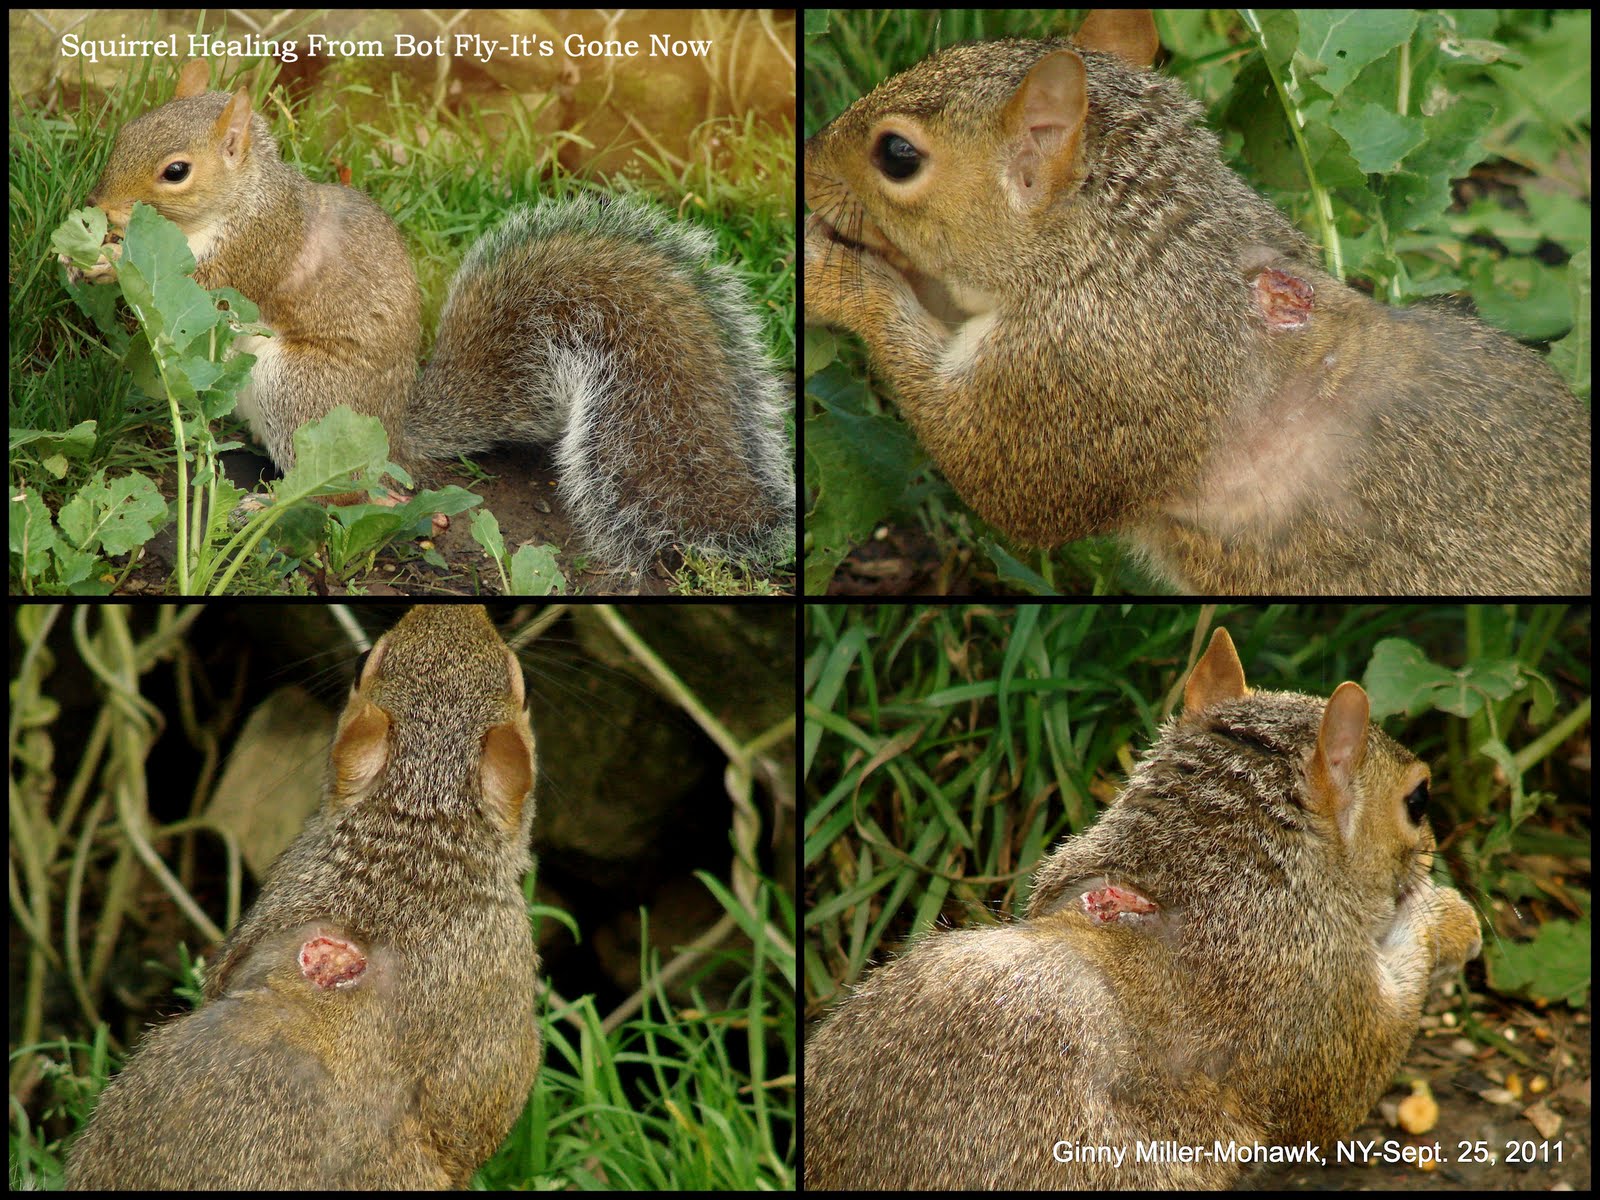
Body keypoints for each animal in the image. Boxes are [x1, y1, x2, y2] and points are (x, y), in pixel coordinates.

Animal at [66, 604, 540, 1189]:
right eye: (363, 660)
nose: (459, 607)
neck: (411, 836)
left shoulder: (285, 884)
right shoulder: (503, 973)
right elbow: (474, 1115)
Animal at [68, 59, 794, 571]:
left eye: (176, 172)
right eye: (127, 131)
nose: (99, 206)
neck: (243, 197)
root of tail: (394, 436)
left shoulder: (257, 254)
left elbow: (202, 285)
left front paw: (105, 260)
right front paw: (82, 257)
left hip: (298, 392)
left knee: (338, 494)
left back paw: (267, 501)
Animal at [804, 9, 1590, 595]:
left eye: (898, 156)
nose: (805, 164)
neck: (1121, 256)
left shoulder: (1081, 381)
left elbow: (998, 479)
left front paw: (830, 275)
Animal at [804, 627, 1483, 1189]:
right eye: (1418, 799)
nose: (1432, 852)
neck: (1183, 877)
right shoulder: (1312, 1002)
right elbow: (1354, 1078)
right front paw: (1451, 921)